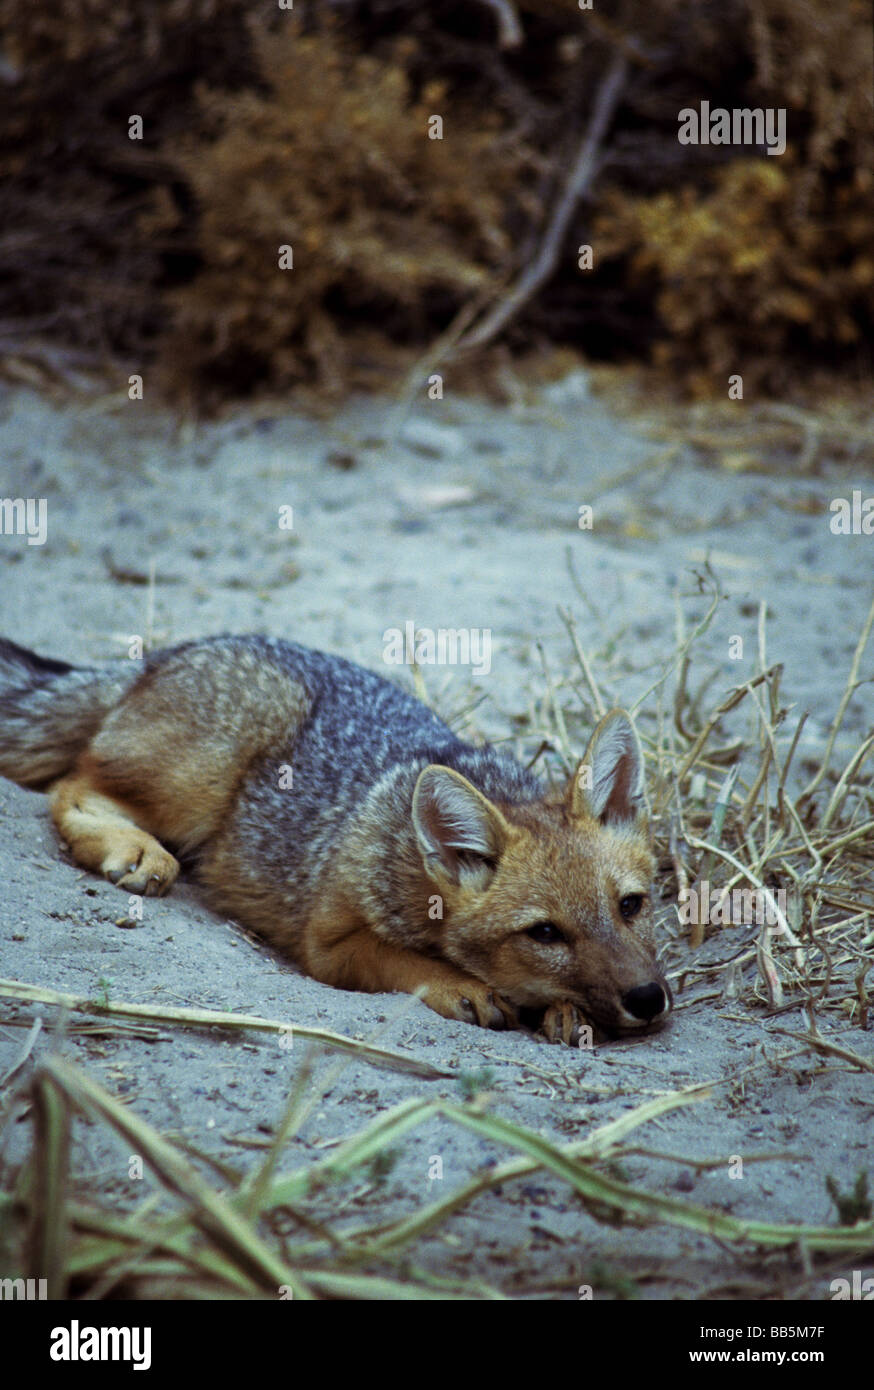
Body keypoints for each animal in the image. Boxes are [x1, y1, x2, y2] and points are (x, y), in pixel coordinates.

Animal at [0, 633, 672, 1045]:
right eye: (545, 933)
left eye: (630, 906)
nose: (648, 999)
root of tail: (164, 652)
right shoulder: (329, 944)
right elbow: (404, 960)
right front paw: (464, 985)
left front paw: (565, 1009)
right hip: (203, 777)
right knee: (71, 785)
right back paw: (135, 848)